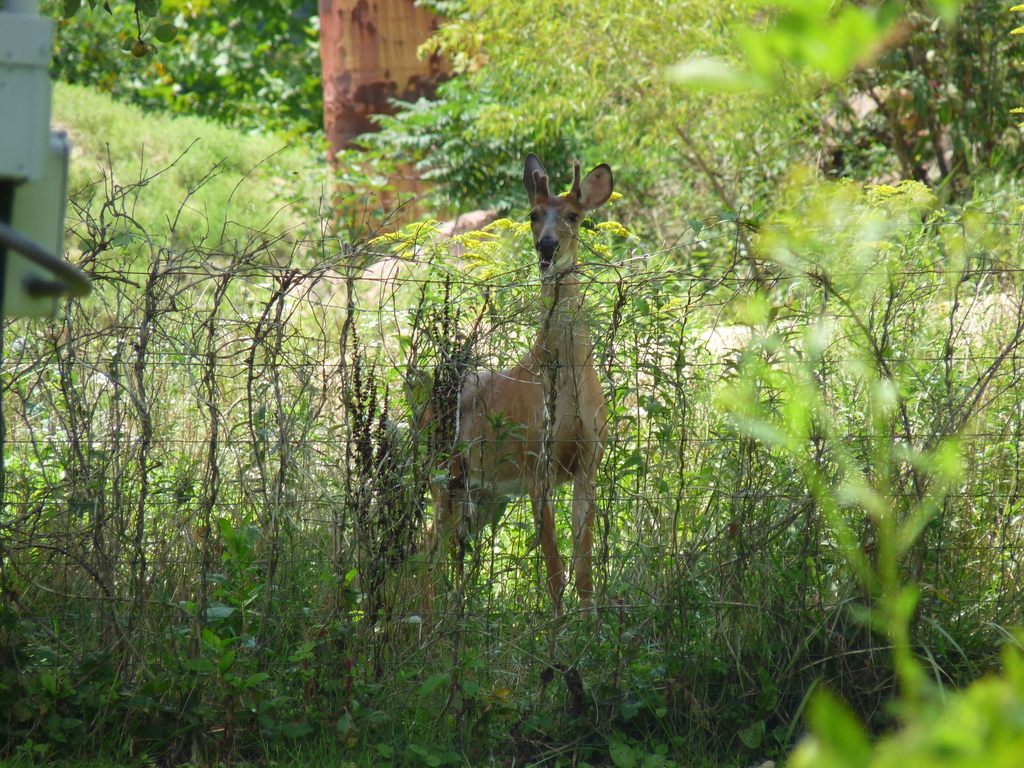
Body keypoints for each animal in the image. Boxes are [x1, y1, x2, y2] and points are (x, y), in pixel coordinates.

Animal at [426, 153, 613, 615]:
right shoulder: (535, 464)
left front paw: (590, 619)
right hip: (442, 473)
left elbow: (583, 565)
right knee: (427, 550)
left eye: (574, 216)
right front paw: (559, 624)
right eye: (532, 214)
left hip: (483, 492)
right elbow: (554, 567)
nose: (546, 247)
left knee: (446, 549)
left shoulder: (589, 462)